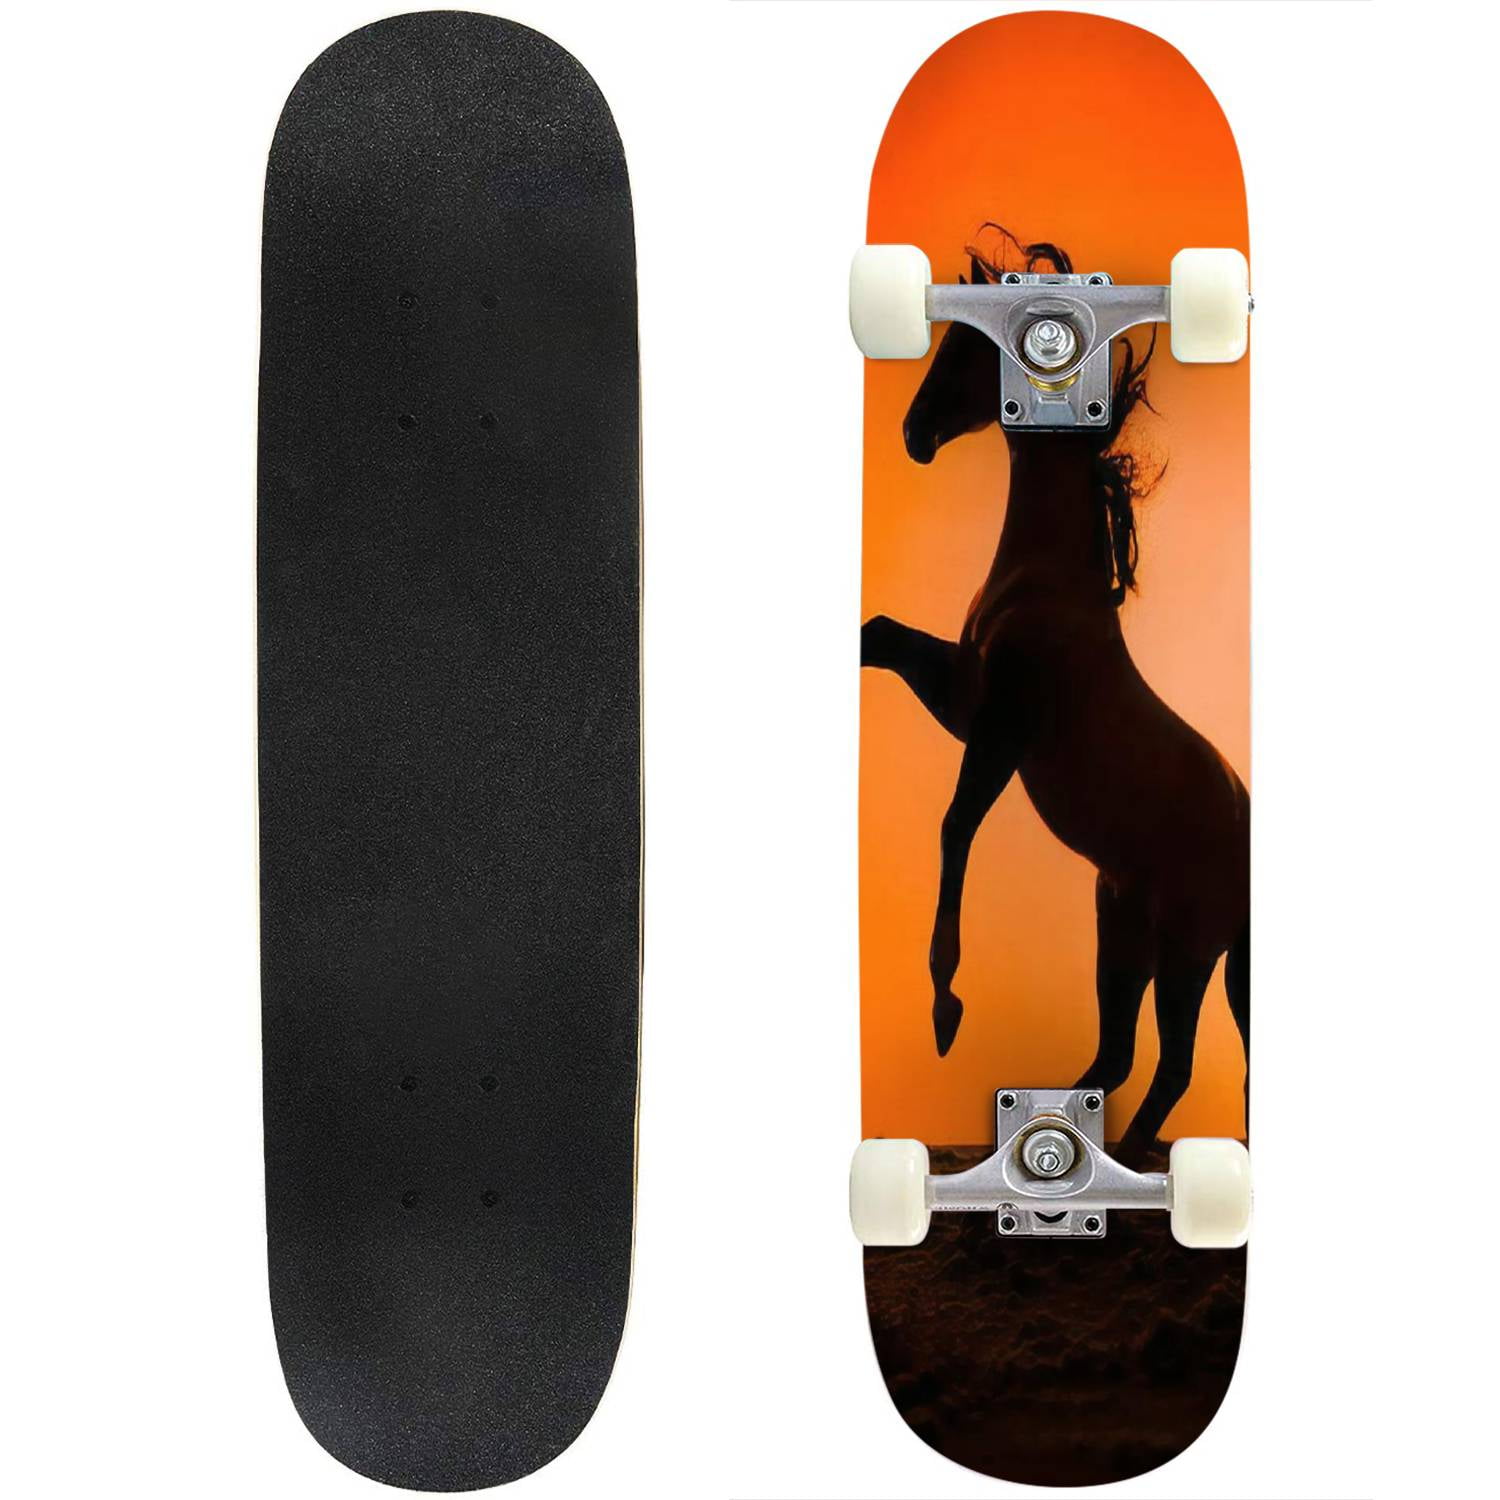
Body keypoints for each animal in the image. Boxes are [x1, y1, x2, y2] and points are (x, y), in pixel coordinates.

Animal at [862, 228, 1249, 1162]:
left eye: (968, 351)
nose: (914, 433)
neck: (1045, 584)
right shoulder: (965, 699)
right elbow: (879, 636)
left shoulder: (1001, 731)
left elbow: (954, 826)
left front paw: (945, 1007)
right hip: (1125, 929)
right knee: (1119, 1057)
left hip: (1189, 947)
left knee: (1174, 1067)